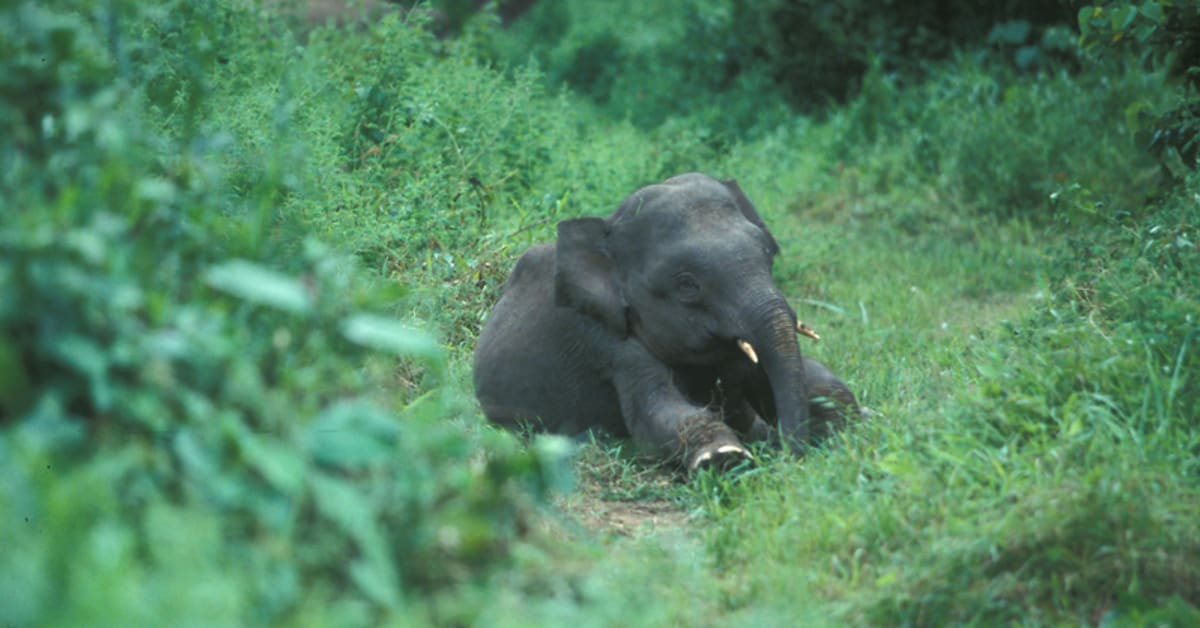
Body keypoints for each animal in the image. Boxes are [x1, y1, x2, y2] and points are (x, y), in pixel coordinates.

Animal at [473, 173, 865, 471]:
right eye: (687, 284)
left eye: (768, 253)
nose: (791, 457)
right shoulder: (604, 339)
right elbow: (654, 411)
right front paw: (725, 458)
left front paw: (849, 421)